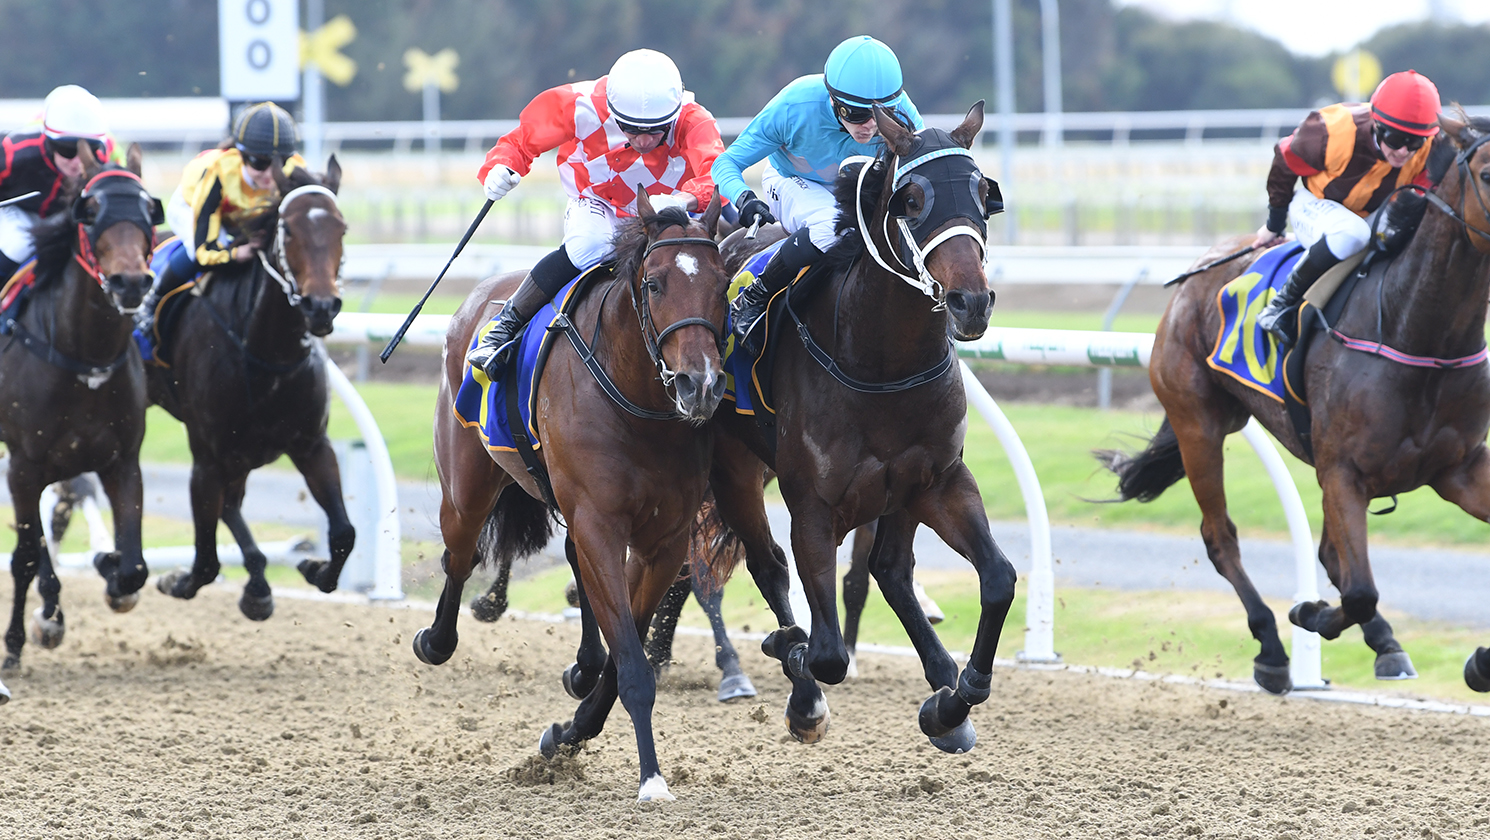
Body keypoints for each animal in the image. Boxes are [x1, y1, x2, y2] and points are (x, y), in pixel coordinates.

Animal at [0, 143, 160, 671]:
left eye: (149, 211)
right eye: (90, 214)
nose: (130, 283)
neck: (86, 360)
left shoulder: (122, 461)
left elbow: (133, 568)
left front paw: (109, 568)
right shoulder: (25, 464)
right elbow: (26, 555)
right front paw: (27, 633)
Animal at [148, 158, 353, 621]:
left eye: (342, 228)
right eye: (288, 229)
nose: (321, 307)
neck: (266, 354)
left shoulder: (312, 445)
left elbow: (343, 532)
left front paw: (313, 568)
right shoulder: (207, 456)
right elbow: (205, 562)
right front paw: (175, 579)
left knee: (233, 504)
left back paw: (259, 582)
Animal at [423, 193, 729, 802]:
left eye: (721, 280)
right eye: (654, 284)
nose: (700, 384)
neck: (639, 405)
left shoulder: (663, 540)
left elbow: (626, 648)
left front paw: (570, 731)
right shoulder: (599, 522)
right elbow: (631, 663)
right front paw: (651, 778)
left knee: (565, 563)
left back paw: (581, 666)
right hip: (467, 485)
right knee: (460, 553)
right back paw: (437, 639)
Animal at [701, 102, 1016, 752]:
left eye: (983, 194)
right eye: (910, 199)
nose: (970, 302)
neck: (880, 362)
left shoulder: (938, 480)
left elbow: (998, 579)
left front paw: (955, 699)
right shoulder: (813, 506)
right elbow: (825, 654)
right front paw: (792, 655)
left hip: (897, 493)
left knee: (890, 571)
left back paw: (944, 693)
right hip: (733, 469)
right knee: (769, 567)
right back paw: (796, 684)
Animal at [1099, 115, 1490, 695]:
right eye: (1486, 173)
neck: (1417, 329)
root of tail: (1195, 273)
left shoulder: (1457, 468)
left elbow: (1349, 573)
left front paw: (1480, 659)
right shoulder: (1344, 470)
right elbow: (1358, 591)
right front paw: (1310, 614)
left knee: (1328, 555)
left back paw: (1384, 644)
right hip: (1199, 423)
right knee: (1221, 538)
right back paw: (1271, 648)